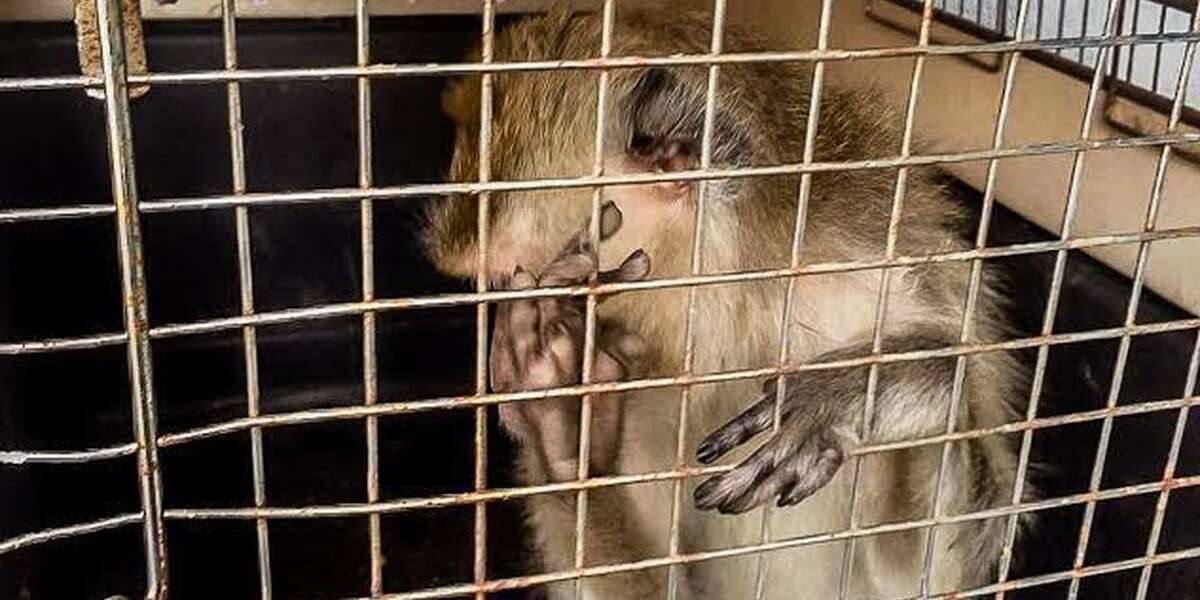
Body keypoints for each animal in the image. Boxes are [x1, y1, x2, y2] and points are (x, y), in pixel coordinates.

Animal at [422, 6, 1031, 599]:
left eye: (519, 278)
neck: (746, 299)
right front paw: (565, 420)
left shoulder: (903, 272)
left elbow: (930, 572)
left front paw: (863, 388)